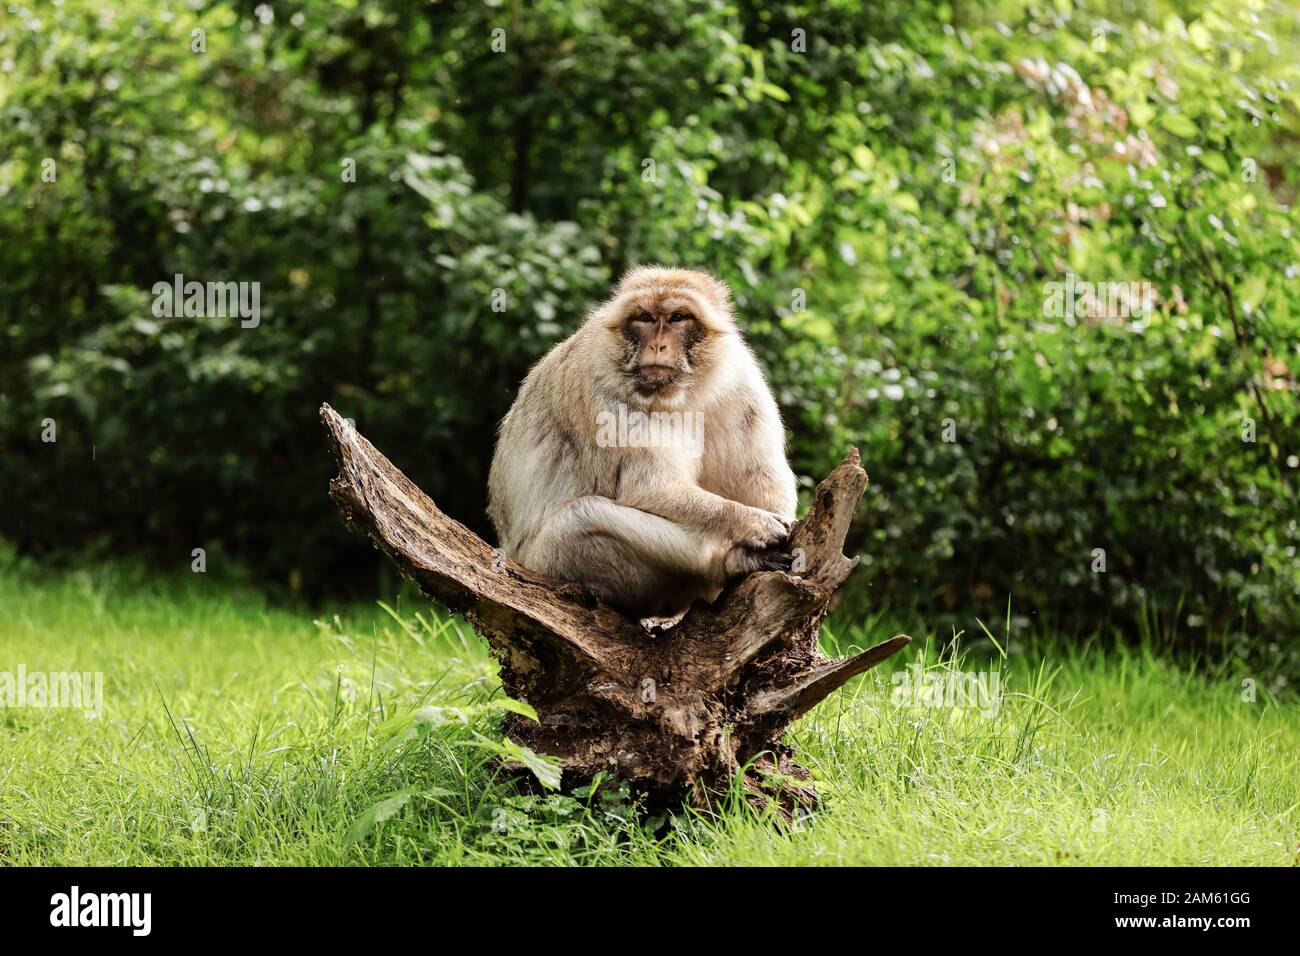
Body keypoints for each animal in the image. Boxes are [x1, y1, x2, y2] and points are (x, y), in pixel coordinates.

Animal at [487, 265, 798, 623]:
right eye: (645, 318)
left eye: (678, 317)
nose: (658, 345)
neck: (681, 395)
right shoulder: (604, 390)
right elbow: (652, 488)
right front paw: (754, 523)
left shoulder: (742, 382)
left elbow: (758, 472)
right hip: (548, 561)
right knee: (582, 520)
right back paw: (727, 561)